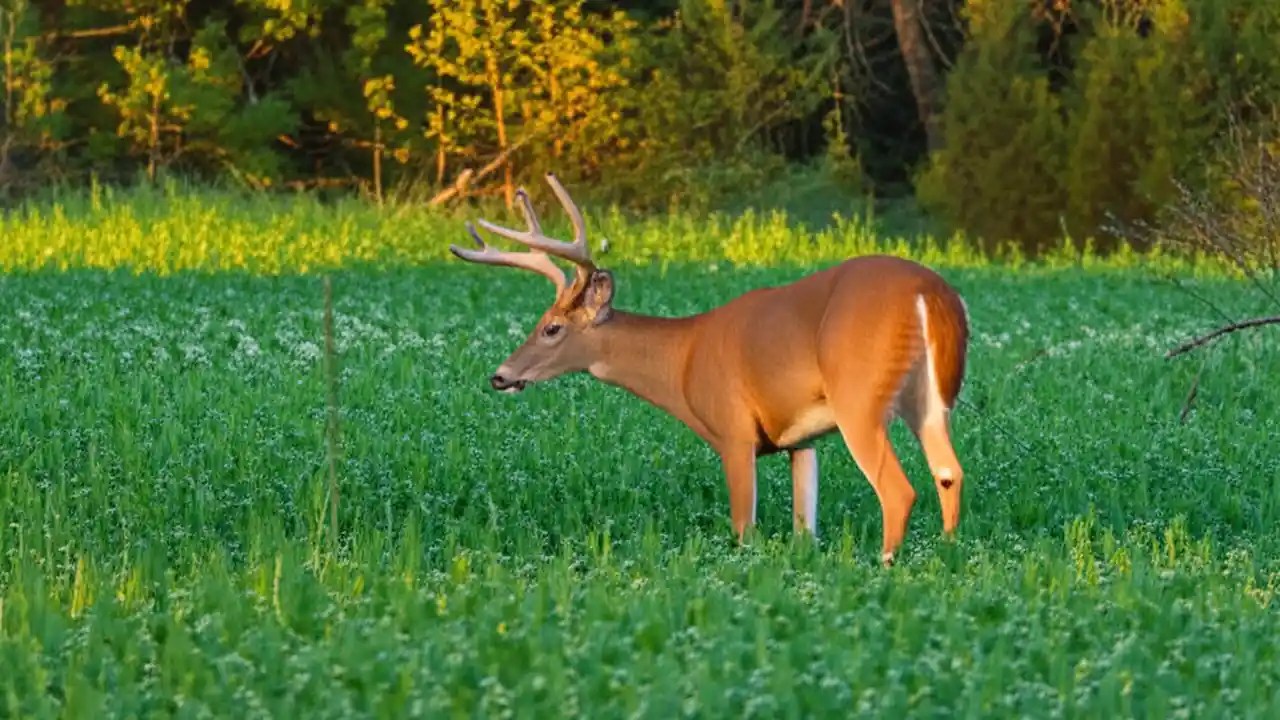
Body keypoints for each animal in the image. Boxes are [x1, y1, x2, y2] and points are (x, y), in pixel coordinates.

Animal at [450, 173, 970, 566]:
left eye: (552, 327)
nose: (501, 375)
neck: (682, 361)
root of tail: (930, 294)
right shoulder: (800, 441)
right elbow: (805, 530)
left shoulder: (733, 430)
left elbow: (744, 529)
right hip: (931, 398)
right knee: (949, 471)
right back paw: (946, 556)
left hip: (860, 398)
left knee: (899, 490)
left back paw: (885, 568)